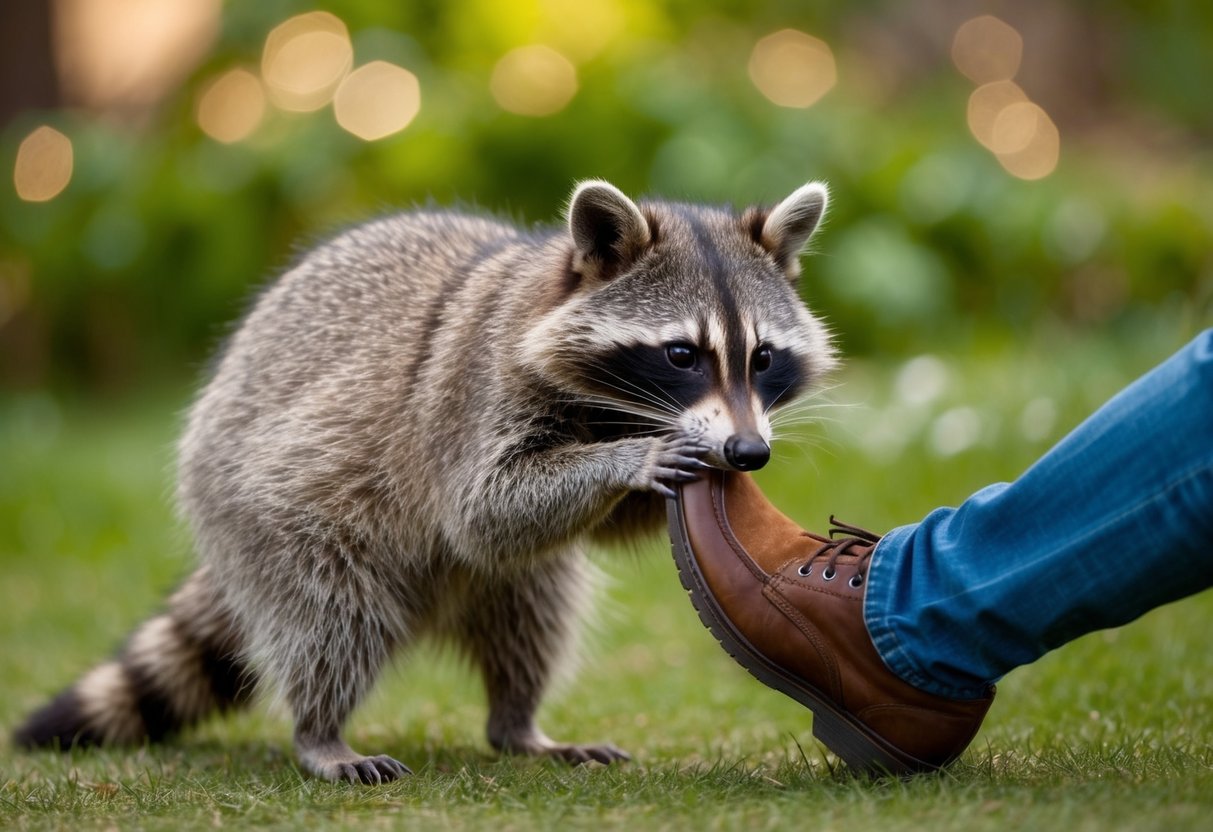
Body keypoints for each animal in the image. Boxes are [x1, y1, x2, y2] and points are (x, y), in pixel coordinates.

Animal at [13, 180, 835, 783]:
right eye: (680, 355)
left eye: (762, 357)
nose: (748, 451)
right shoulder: (474, 390)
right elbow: (483, 507)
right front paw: (632, 458)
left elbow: (573, 527)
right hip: (262, 501)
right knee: (327, 614)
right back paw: (320, 730)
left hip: (502, 583)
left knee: (533, 614)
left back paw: (517, 722)